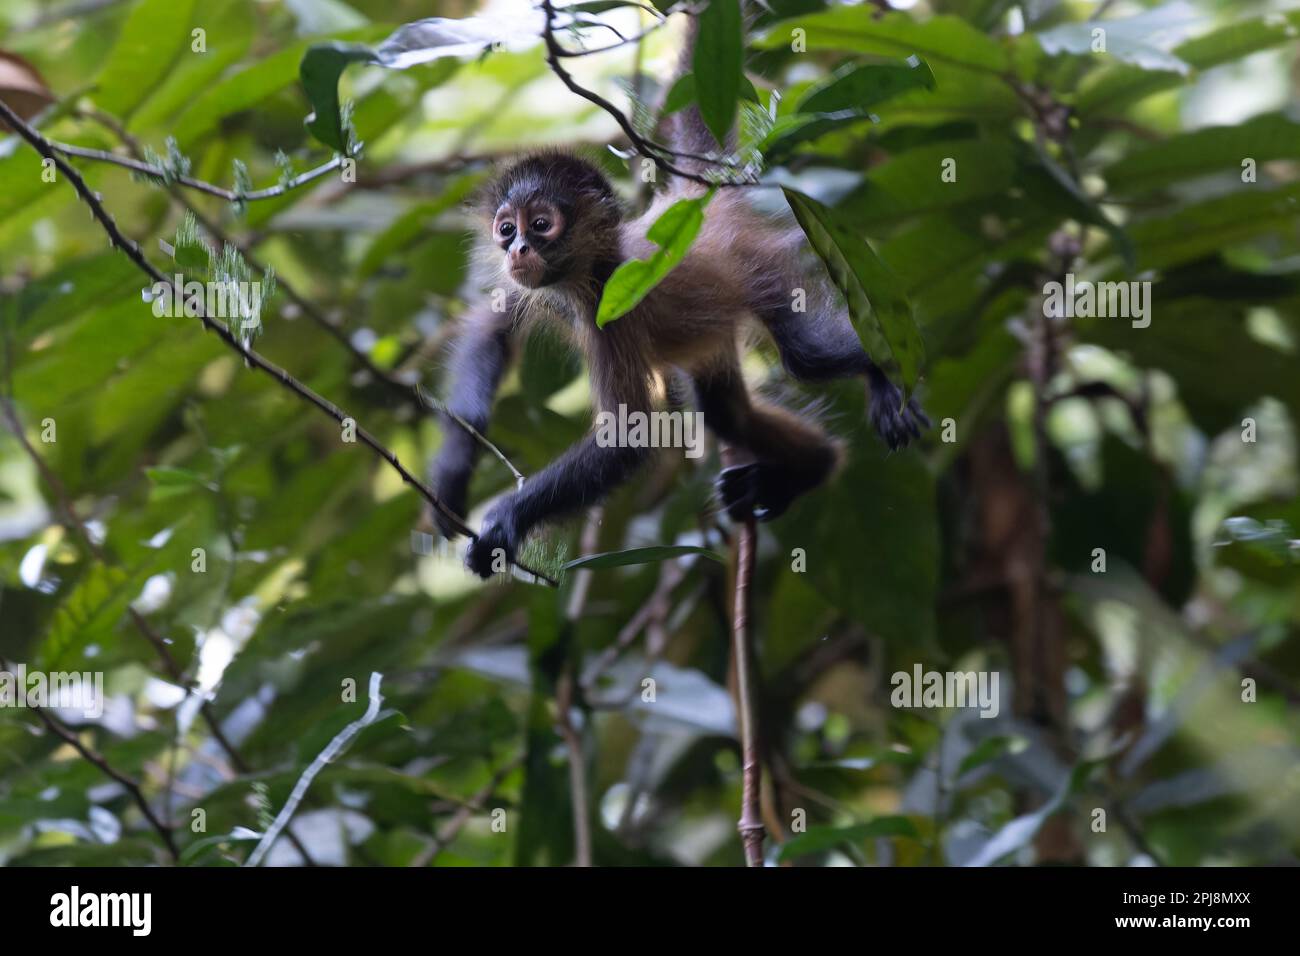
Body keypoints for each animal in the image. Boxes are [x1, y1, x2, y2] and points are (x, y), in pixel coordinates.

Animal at [427, 16, 929, 580]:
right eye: (506, 229)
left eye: (540, 225)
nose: (517, 249)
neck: (587, 271)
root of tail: (696, 197)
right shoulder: (542, 288)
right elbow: (488, 329)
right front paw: (454, 468)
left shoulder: (609, 307)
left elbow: (627, 438)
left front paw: (504, 523)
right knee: (728, 413)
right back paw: (813, 468)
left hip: (760, 267)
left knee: (807, 356)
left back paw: (883, 381)